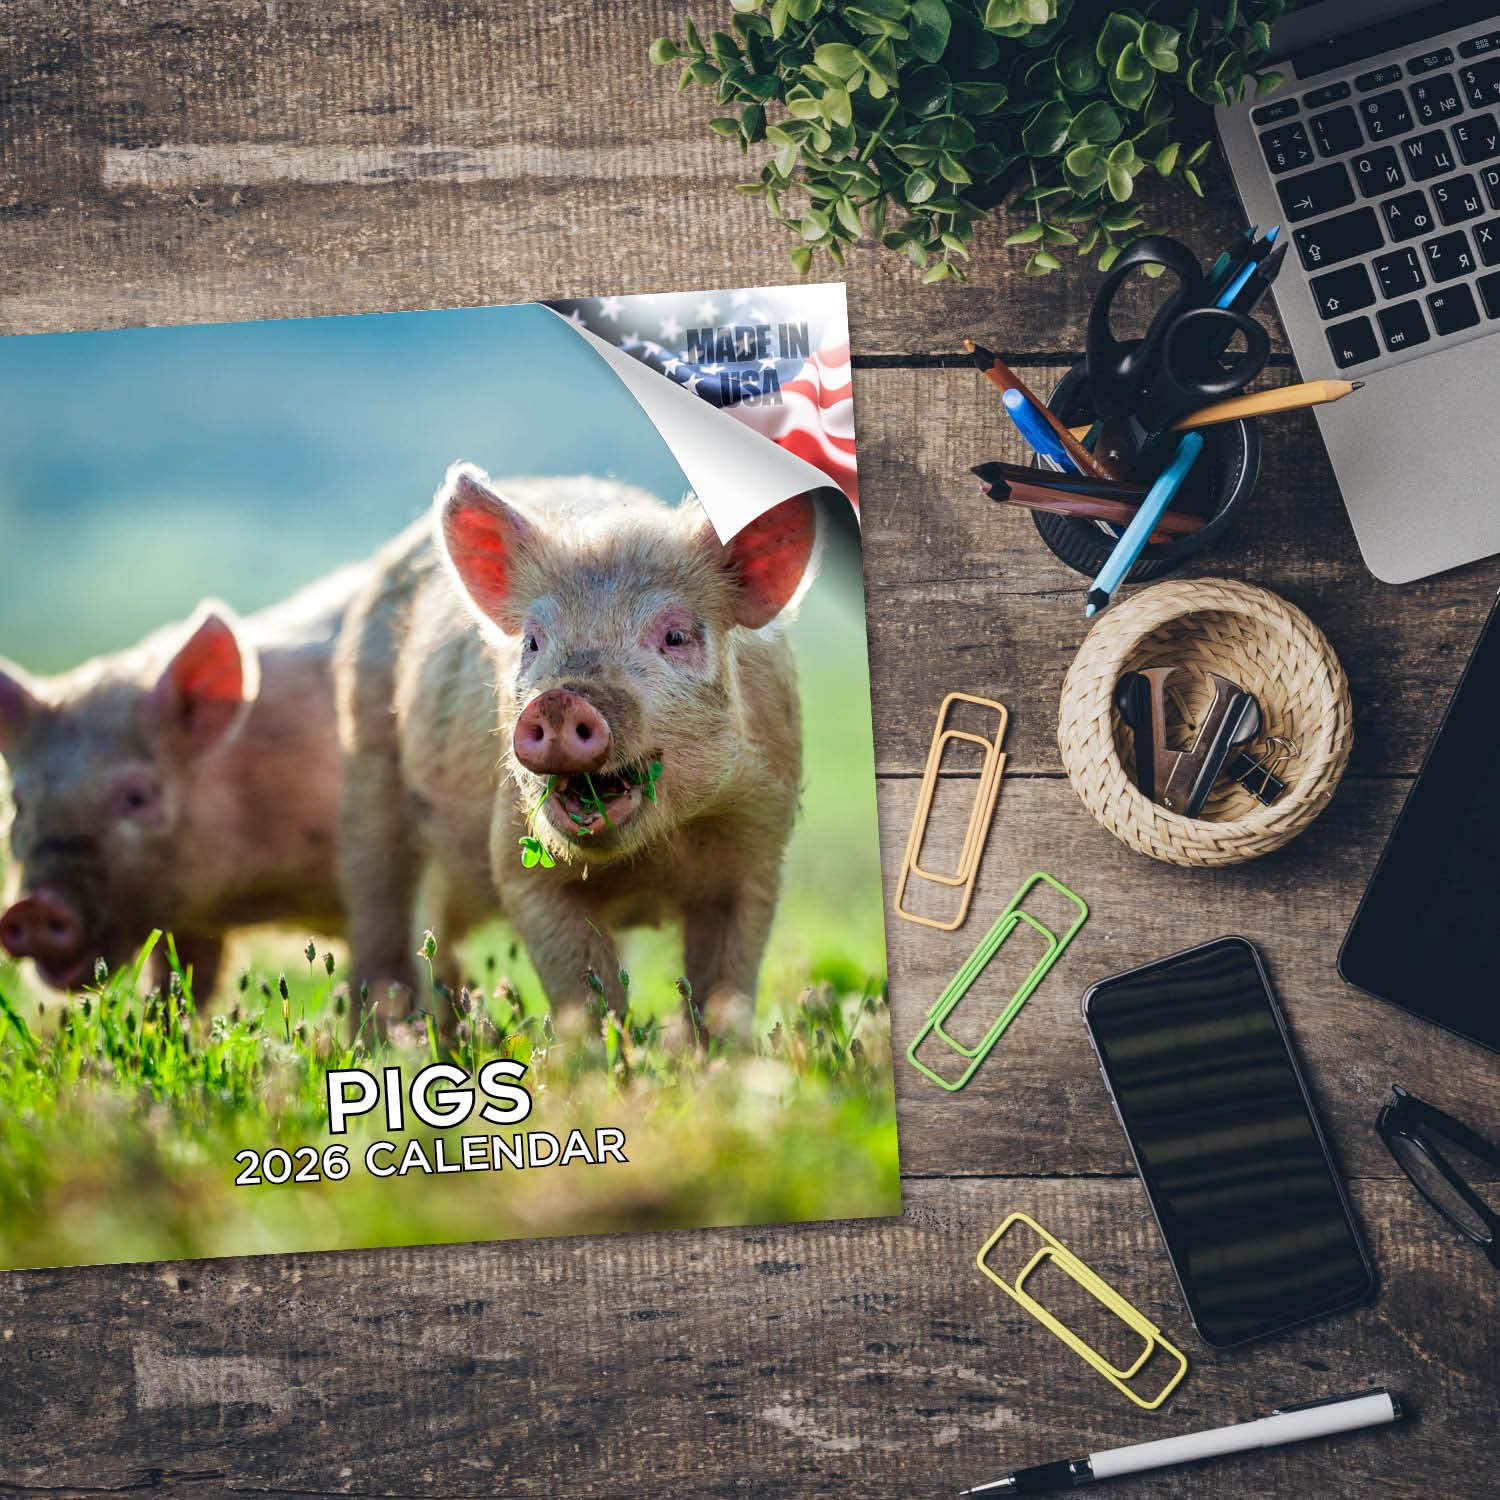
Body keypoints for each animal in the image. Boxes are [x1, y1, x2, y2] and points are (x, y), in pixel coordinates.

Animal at [334, 463, 819, 1034]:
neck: (647, 860)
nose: (561, 699)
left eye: (676, 636)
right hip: (367, 767)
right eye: (533, 642)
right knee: (383, 921)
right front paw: (600, 1051)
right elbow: (585, 994)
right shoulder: (520, 862)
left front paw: (719, 1051)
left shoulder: (759, 848)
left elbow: (723, 988)